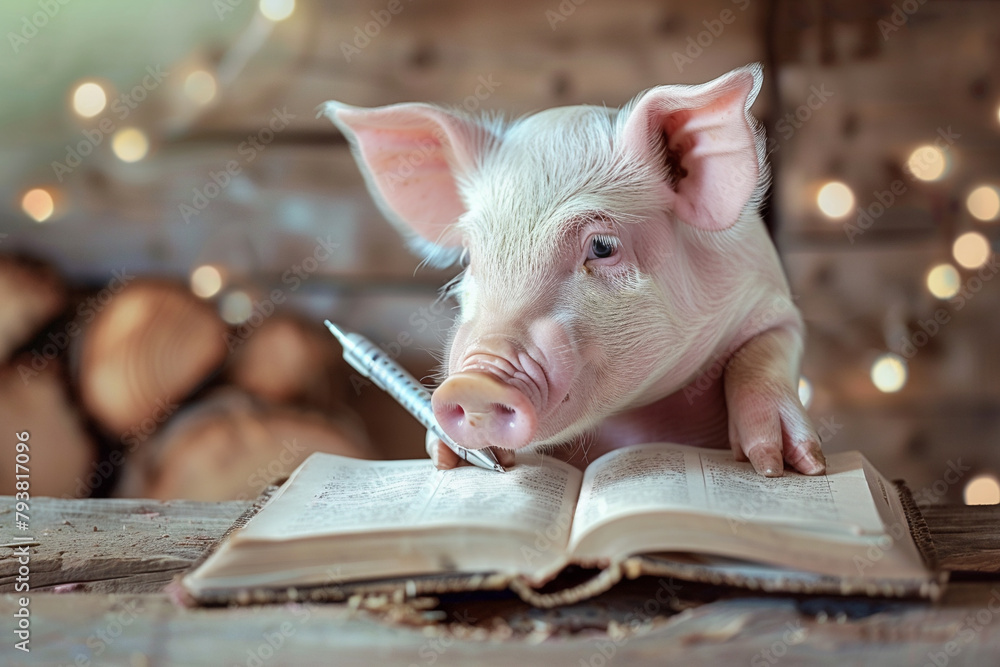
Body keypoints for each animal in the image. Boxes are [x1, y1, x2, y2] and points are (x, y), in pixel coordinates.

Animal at [322, 64, 826, 477]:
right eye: (468, 256)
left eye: (602, 247)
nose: (471, 382)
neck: (640, 413)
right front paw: (446, 455)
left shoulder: (772, 301)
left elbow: (764, 354)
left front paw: (783, 467)